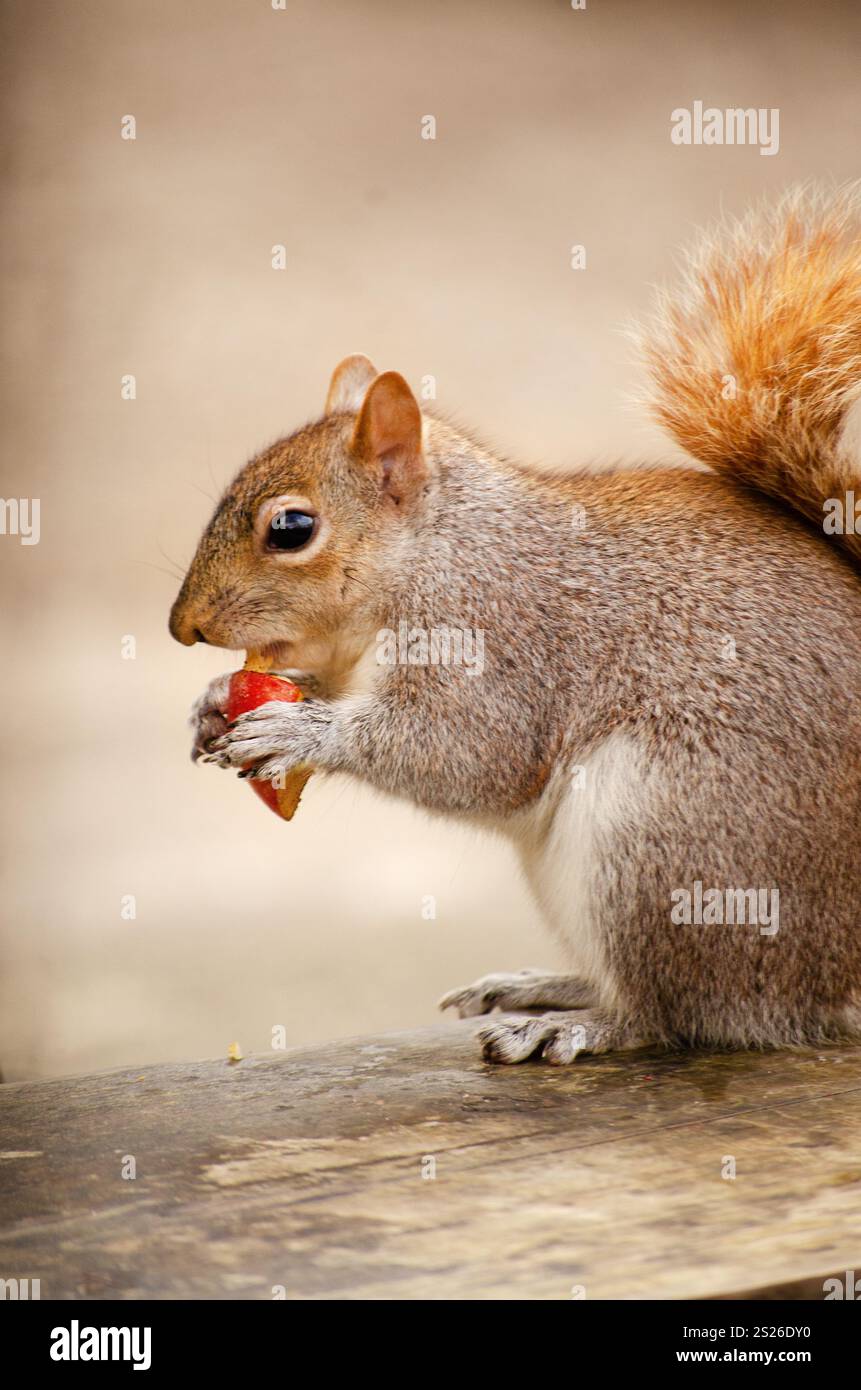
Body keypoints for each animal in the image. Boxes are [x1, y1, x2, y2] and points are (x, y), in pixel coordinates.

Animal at [170, 185, 861, 1065]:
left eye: (291, 529)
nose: (182, 627)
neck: (435, 550)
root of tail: (842, 970)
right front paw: (214, 701)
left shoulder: (496, 635)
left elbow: (472, 754)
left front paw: (301, 734)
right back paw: (545, 986)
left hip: (670, 846)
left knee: (680, 1013)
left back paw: (577, 1026)